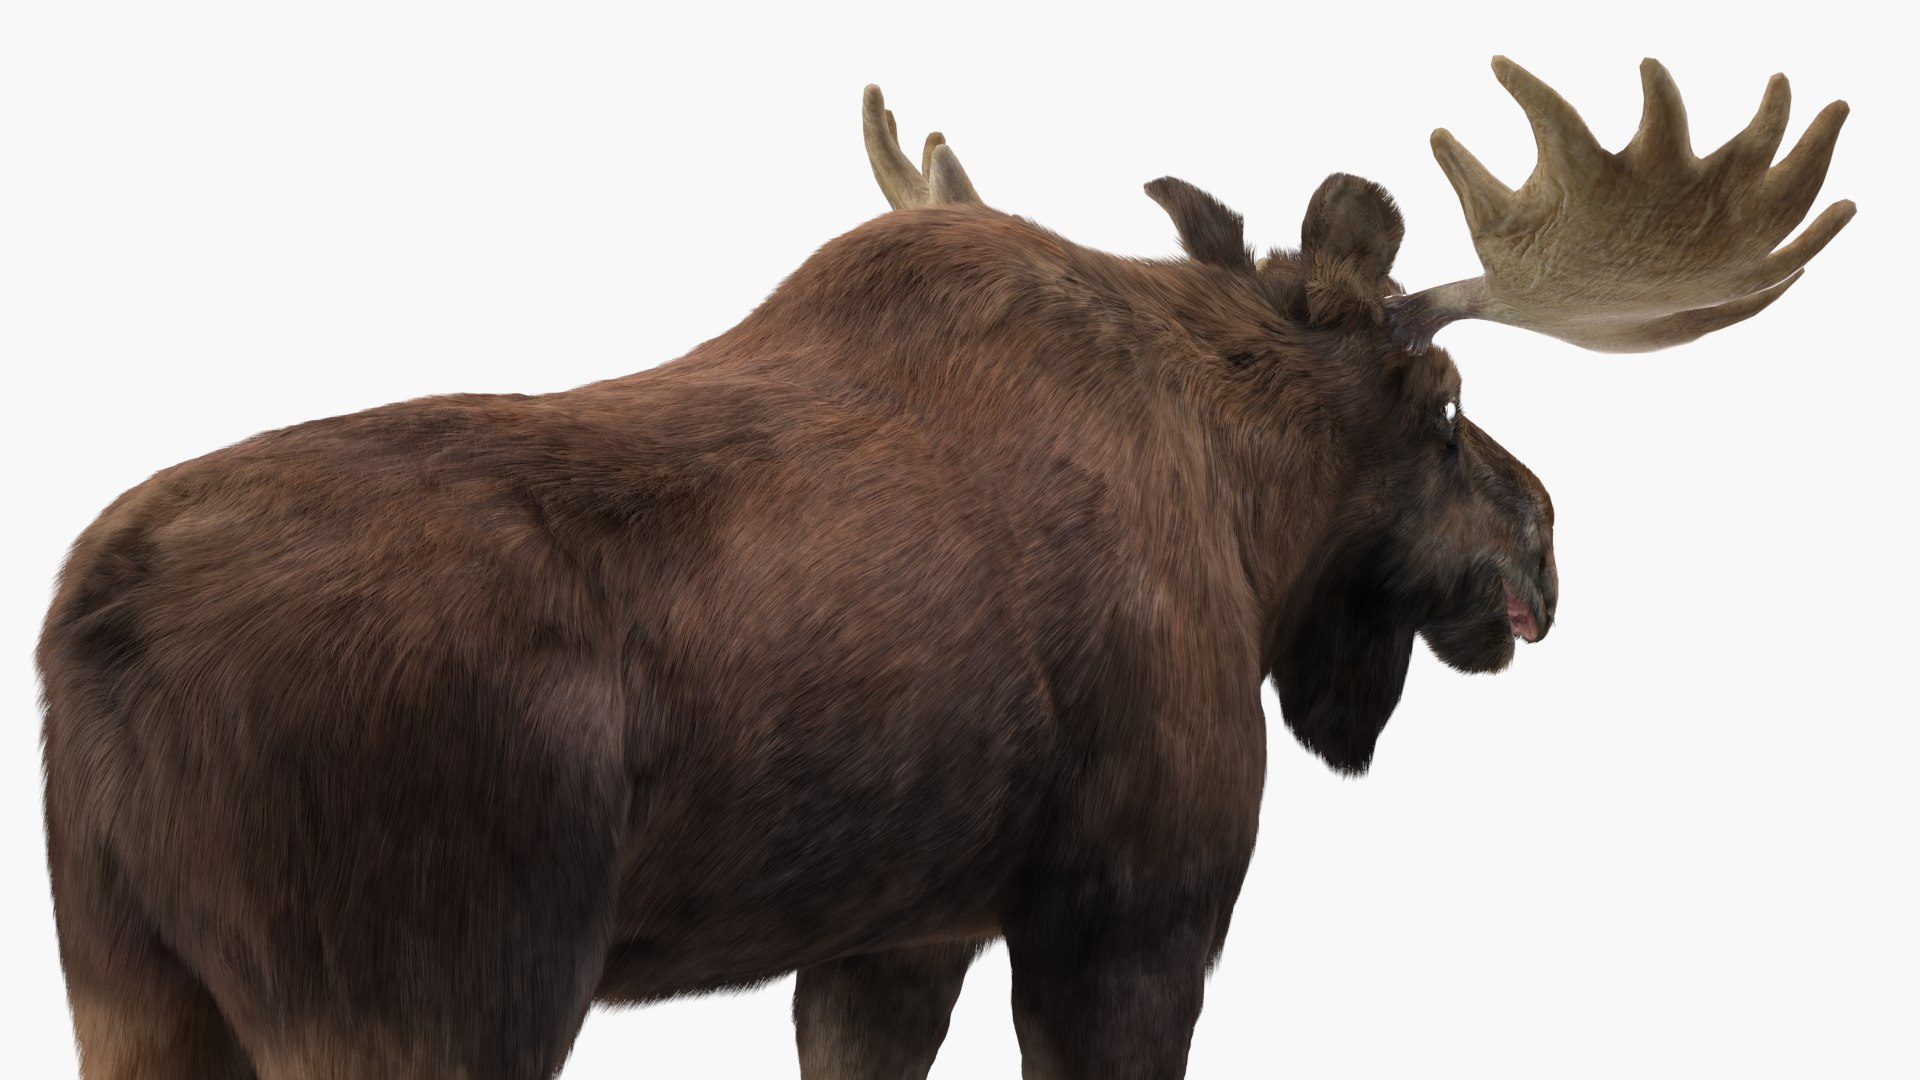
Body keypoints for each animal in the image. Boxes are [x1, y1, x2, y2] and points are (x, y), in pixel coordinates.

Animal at [38, 57, 1850, 1079]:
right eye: (1456, 410)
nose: (1550, 531)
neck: (1248, 519)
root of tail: (98, 637)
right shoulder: (1133, 912)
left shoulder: (889, 933)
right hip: (434, 995)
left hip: (130, 989)